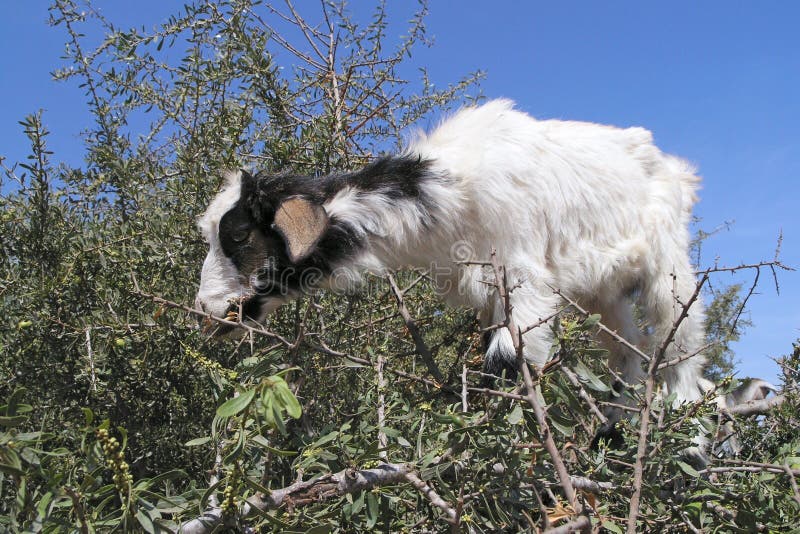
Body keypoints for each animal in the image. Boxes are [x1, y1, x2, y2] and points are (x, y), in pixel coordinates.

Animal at [196, 99, 707, 424]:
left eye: (239, 235)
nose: (206, 309)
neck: (451, 190)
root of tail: (675, 167)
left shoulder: (523, 276)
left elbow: (506, 360)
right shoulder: (485, 291)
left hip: (669, 268)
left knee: (680, 349)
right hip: (605, 290)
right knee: (629, 353)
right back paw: (613, 433)